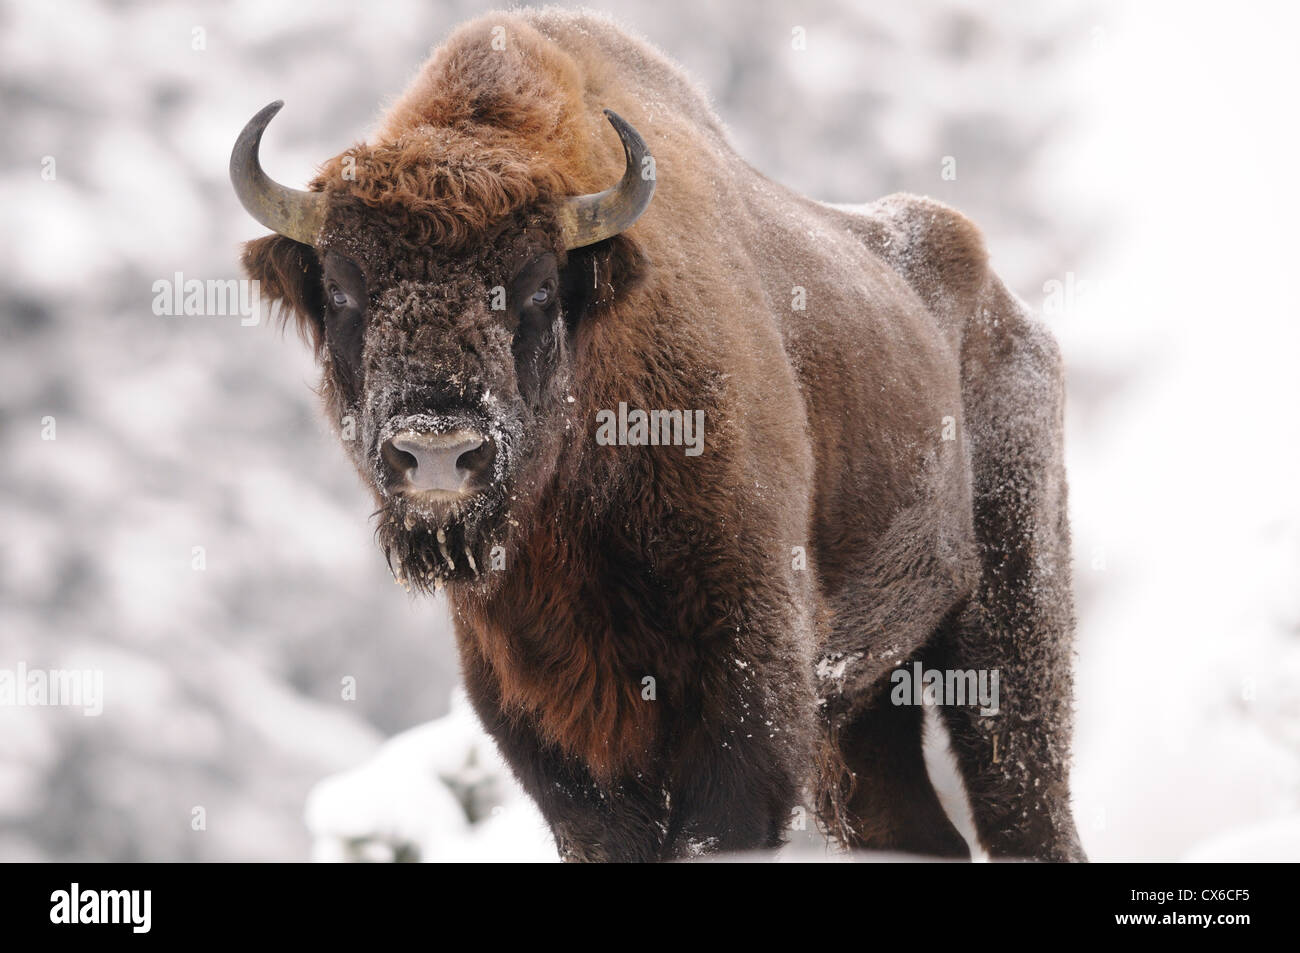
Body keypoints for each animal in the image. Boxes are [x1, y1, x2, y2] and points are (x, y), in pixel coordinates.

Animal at [232, 9, 1085, 862]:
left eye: (536, 287)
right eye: (342, 289)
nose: (437, 448)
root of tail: (1014, 318)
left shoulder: (749, 689)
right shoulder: (542, 728)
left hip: (1008, 642)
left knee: (1027, 809)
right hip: (868, 708)